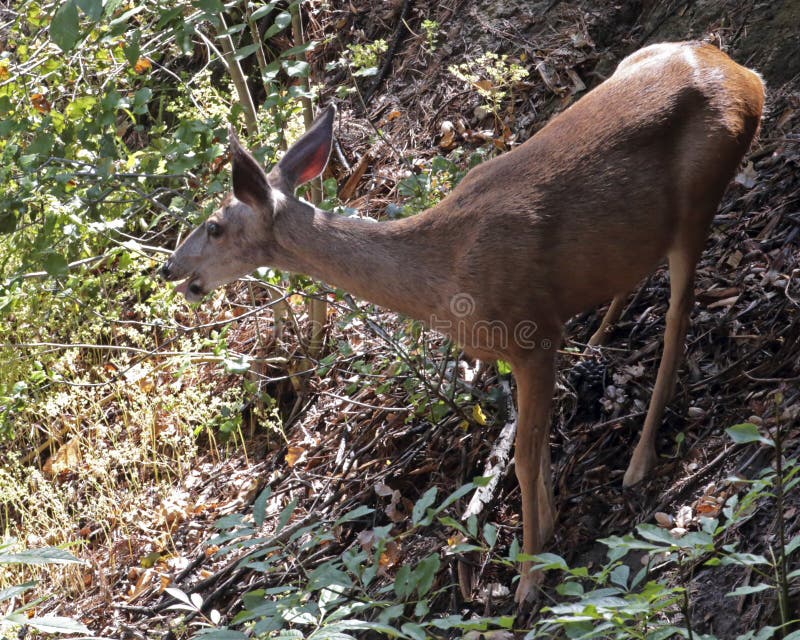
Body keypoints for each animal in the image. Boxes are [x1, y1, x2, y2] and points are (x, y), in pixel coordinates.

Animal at [160, 41, 764, 604]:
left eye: (214, 226)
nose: (170, 268)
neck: (442, 273)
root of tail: (747, 76)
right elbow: (536, 450)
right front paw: (546, 532)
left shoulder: (533, 333)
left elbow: (522, 459)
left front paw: (529, 576)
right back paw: (600, 337)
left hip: (701, 190)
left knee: (678, 318)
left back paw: (639, 459)